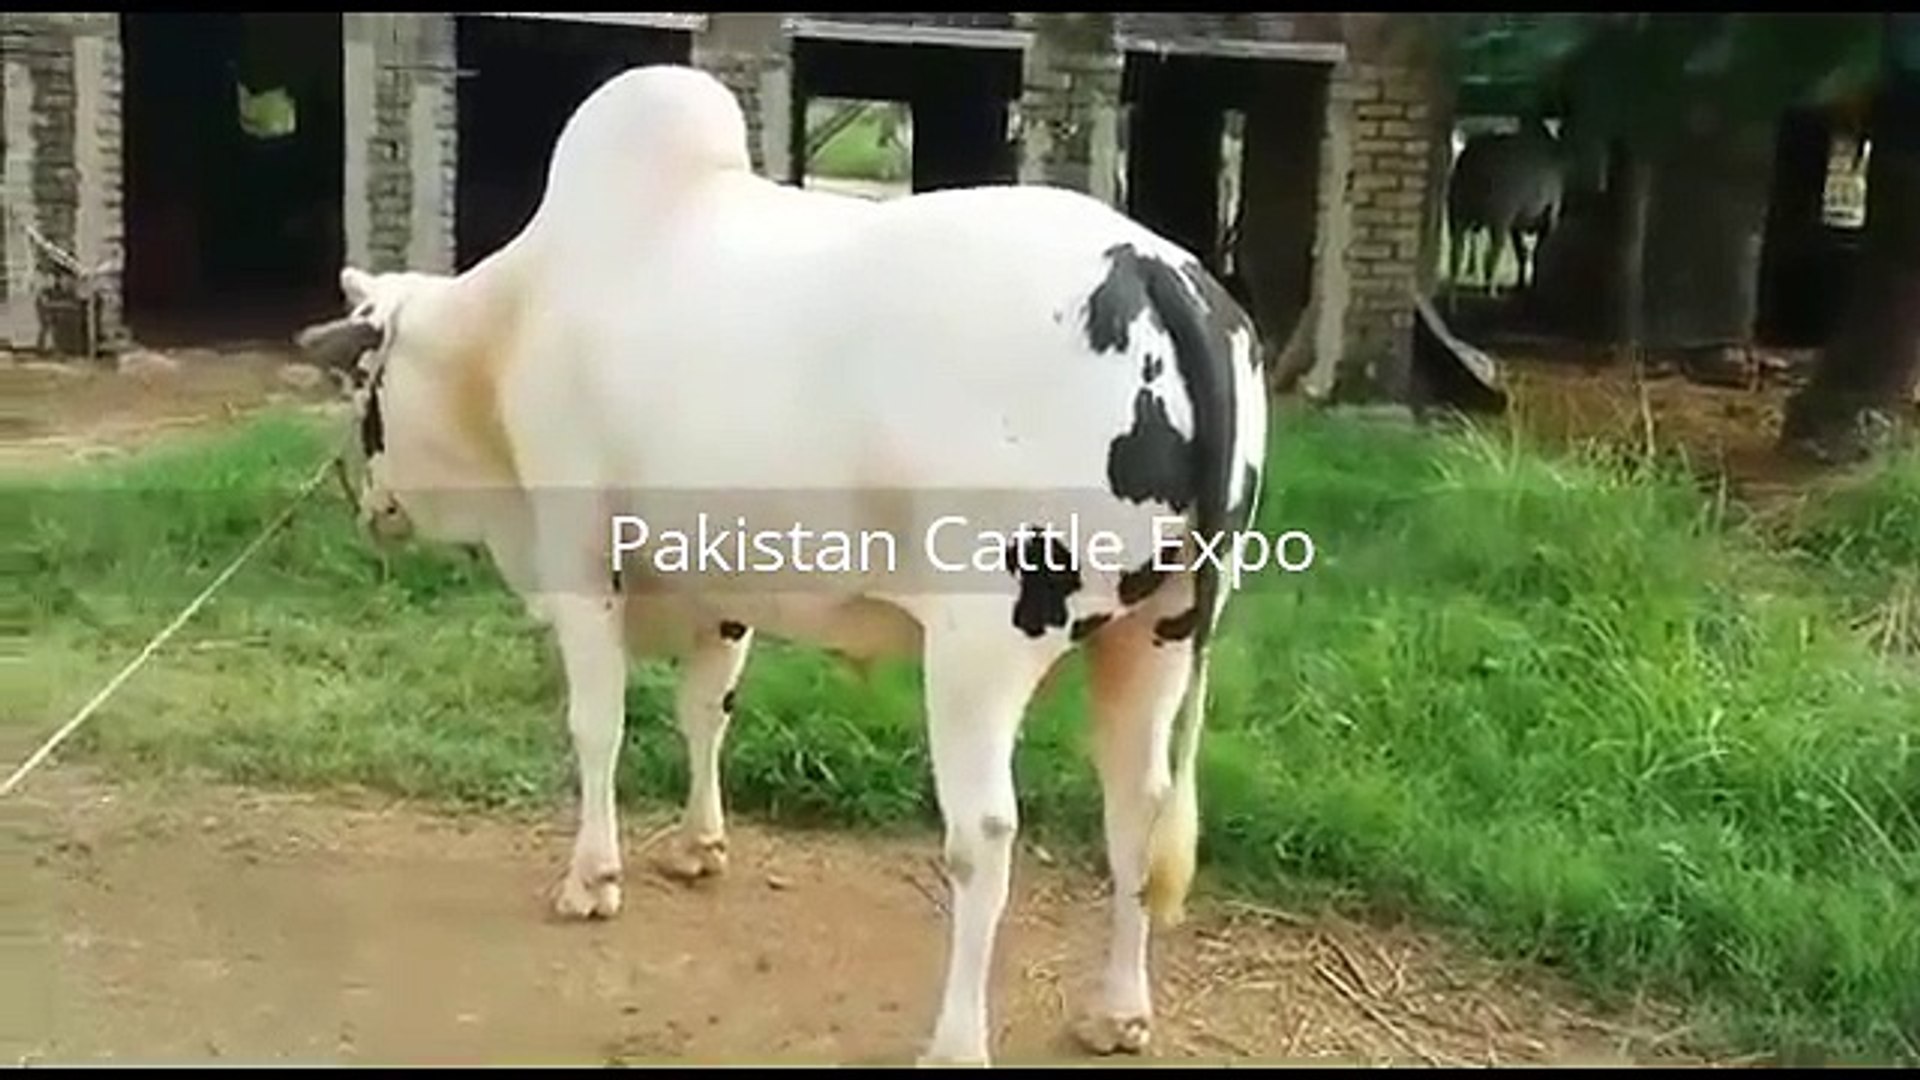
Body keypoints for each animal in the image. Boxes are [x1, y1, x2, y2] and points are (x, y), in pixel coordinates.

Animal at [294, 64, 1270, 1067]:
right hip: (1157, 632)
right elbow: (706, 710)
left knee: (985, 835)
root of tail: (1154, 270)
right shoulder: (721, 580)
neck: (513, 320)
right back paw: (1117, 1009)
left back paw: (957, 1038)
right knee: (1138, 812)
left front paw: (591, 878)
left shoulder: (578, 552)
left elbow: (597, 726)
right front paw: (698, 847)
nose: (367, 504)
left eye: (362, 385)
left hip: (981, 643)